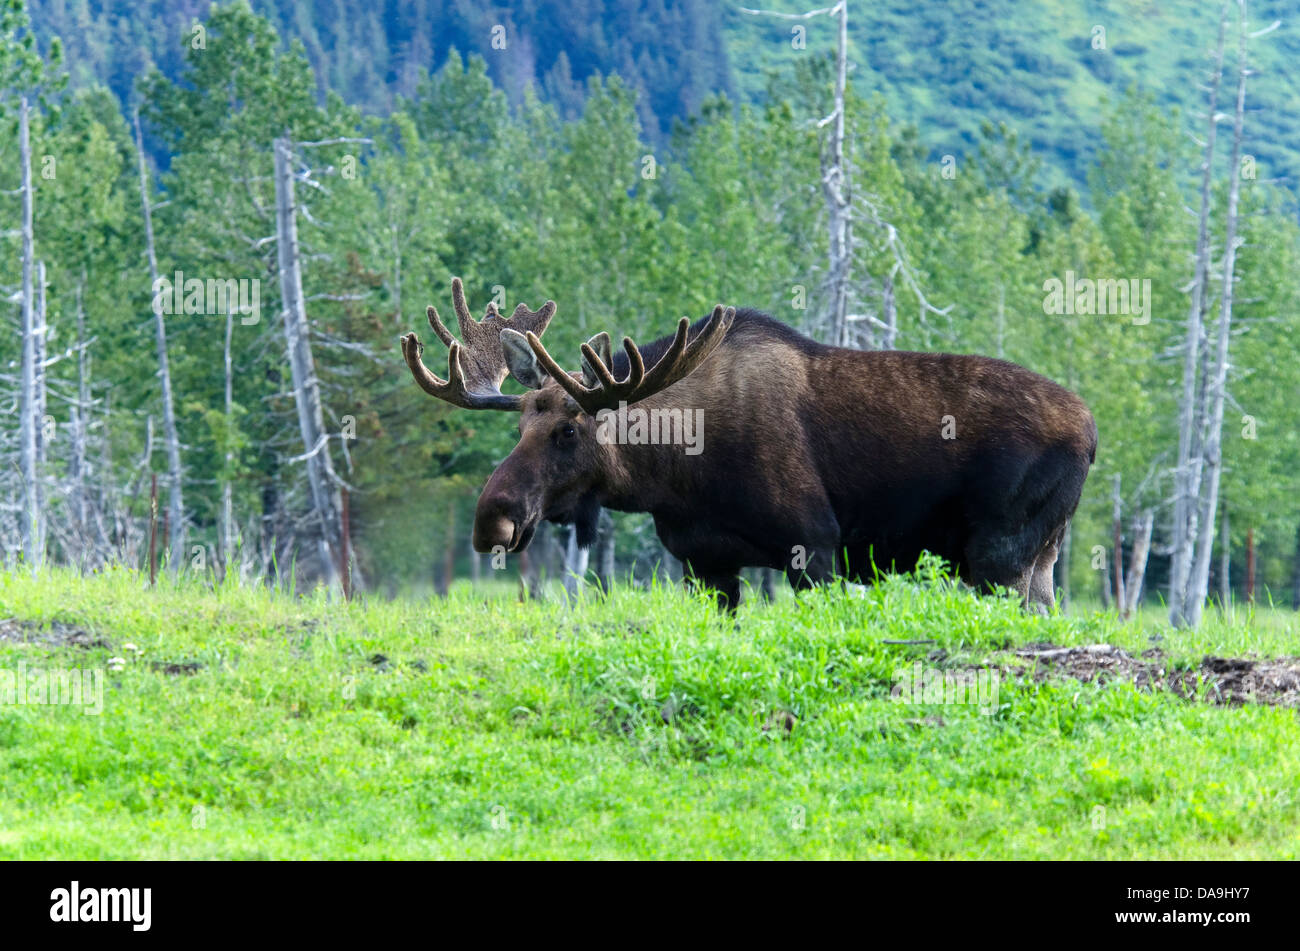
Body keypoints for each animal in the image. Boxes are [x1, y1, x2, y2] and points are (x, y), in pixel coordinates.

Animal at [401, 279, 1098, 612]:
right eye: (518, 426)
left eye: (567, 430)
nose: (492, 520)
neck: (670, 477)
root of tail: (1092, 432)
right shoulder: (707, 564)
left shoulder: (816, 549)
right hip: (1039, 558)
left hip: (1000, 554)